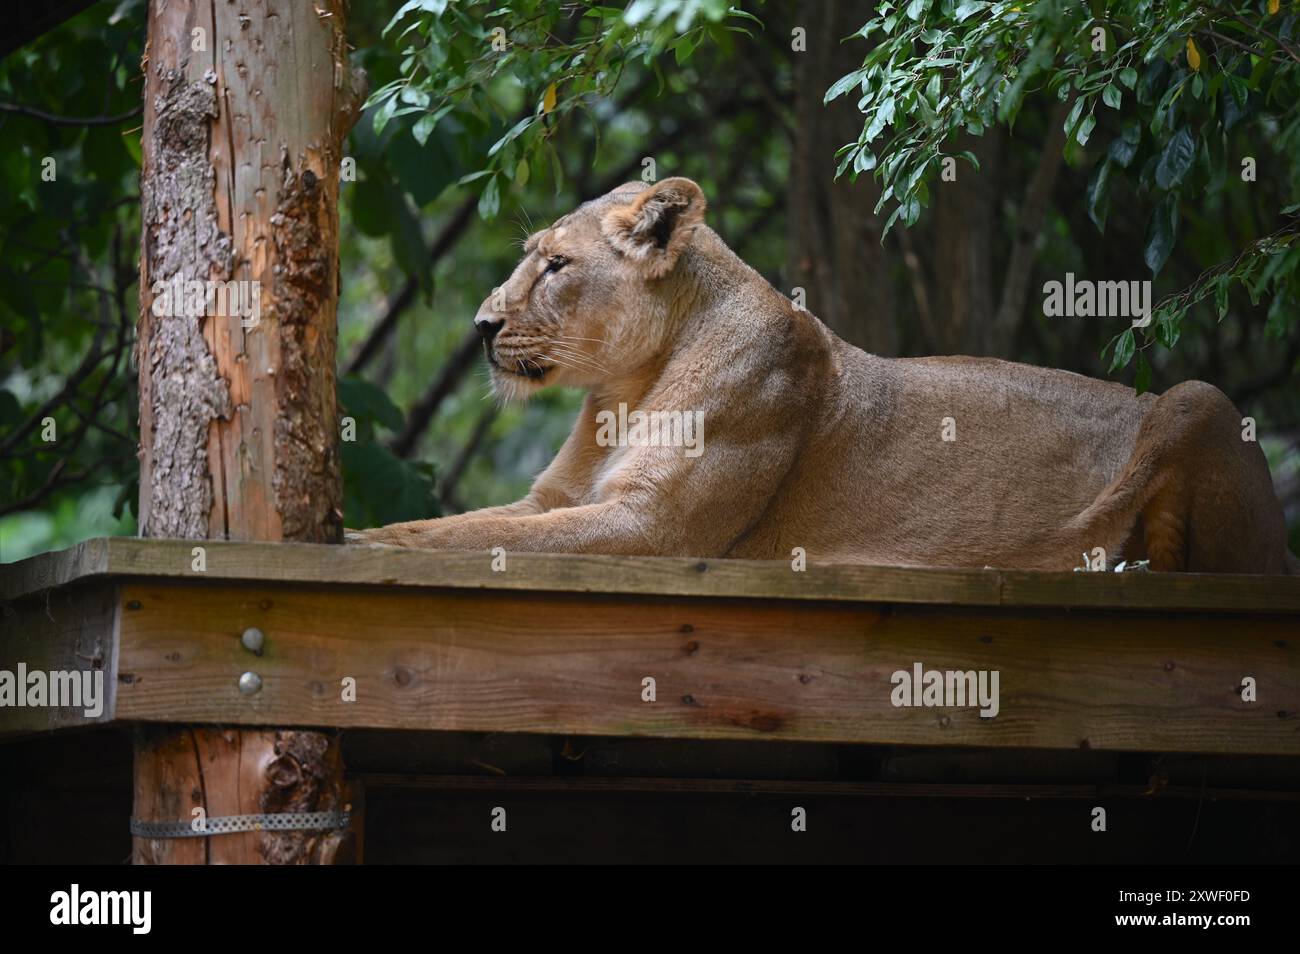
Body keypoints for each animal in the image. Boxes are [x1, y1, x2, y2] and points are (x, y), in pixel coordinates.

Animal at [349, 177, 1297, 574]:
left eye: (554, 266)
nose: (479, 328)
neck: (625, 389)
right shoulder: (557, 499)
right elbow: (459, 523)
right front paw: (363, 529)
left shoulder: (654, 529)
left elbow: (469, 539)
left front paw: (356, 544)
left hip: (1200, 400)